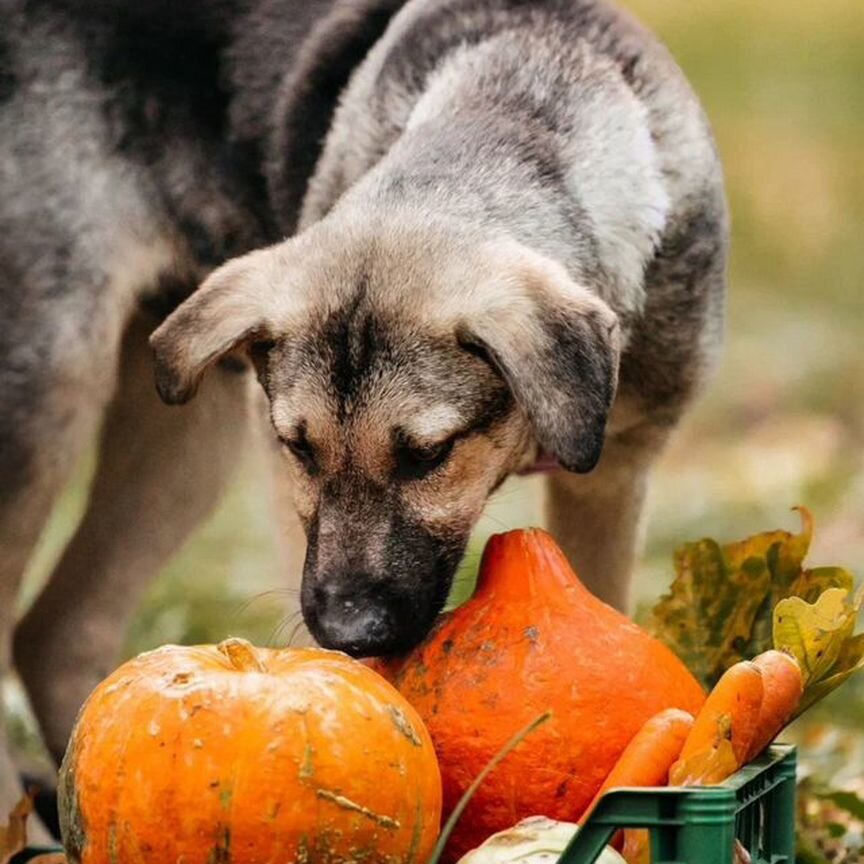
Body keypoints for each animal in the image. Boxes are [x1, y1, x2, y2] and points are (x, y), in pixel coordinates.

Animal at [0, 0, 724, 828]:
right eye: (300, 450)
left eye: (428, 456)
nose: (348, 633)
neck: (522, 94)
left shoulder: (612, 476)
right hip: (52, 384)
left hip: (187, 422)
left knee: (58, 631)